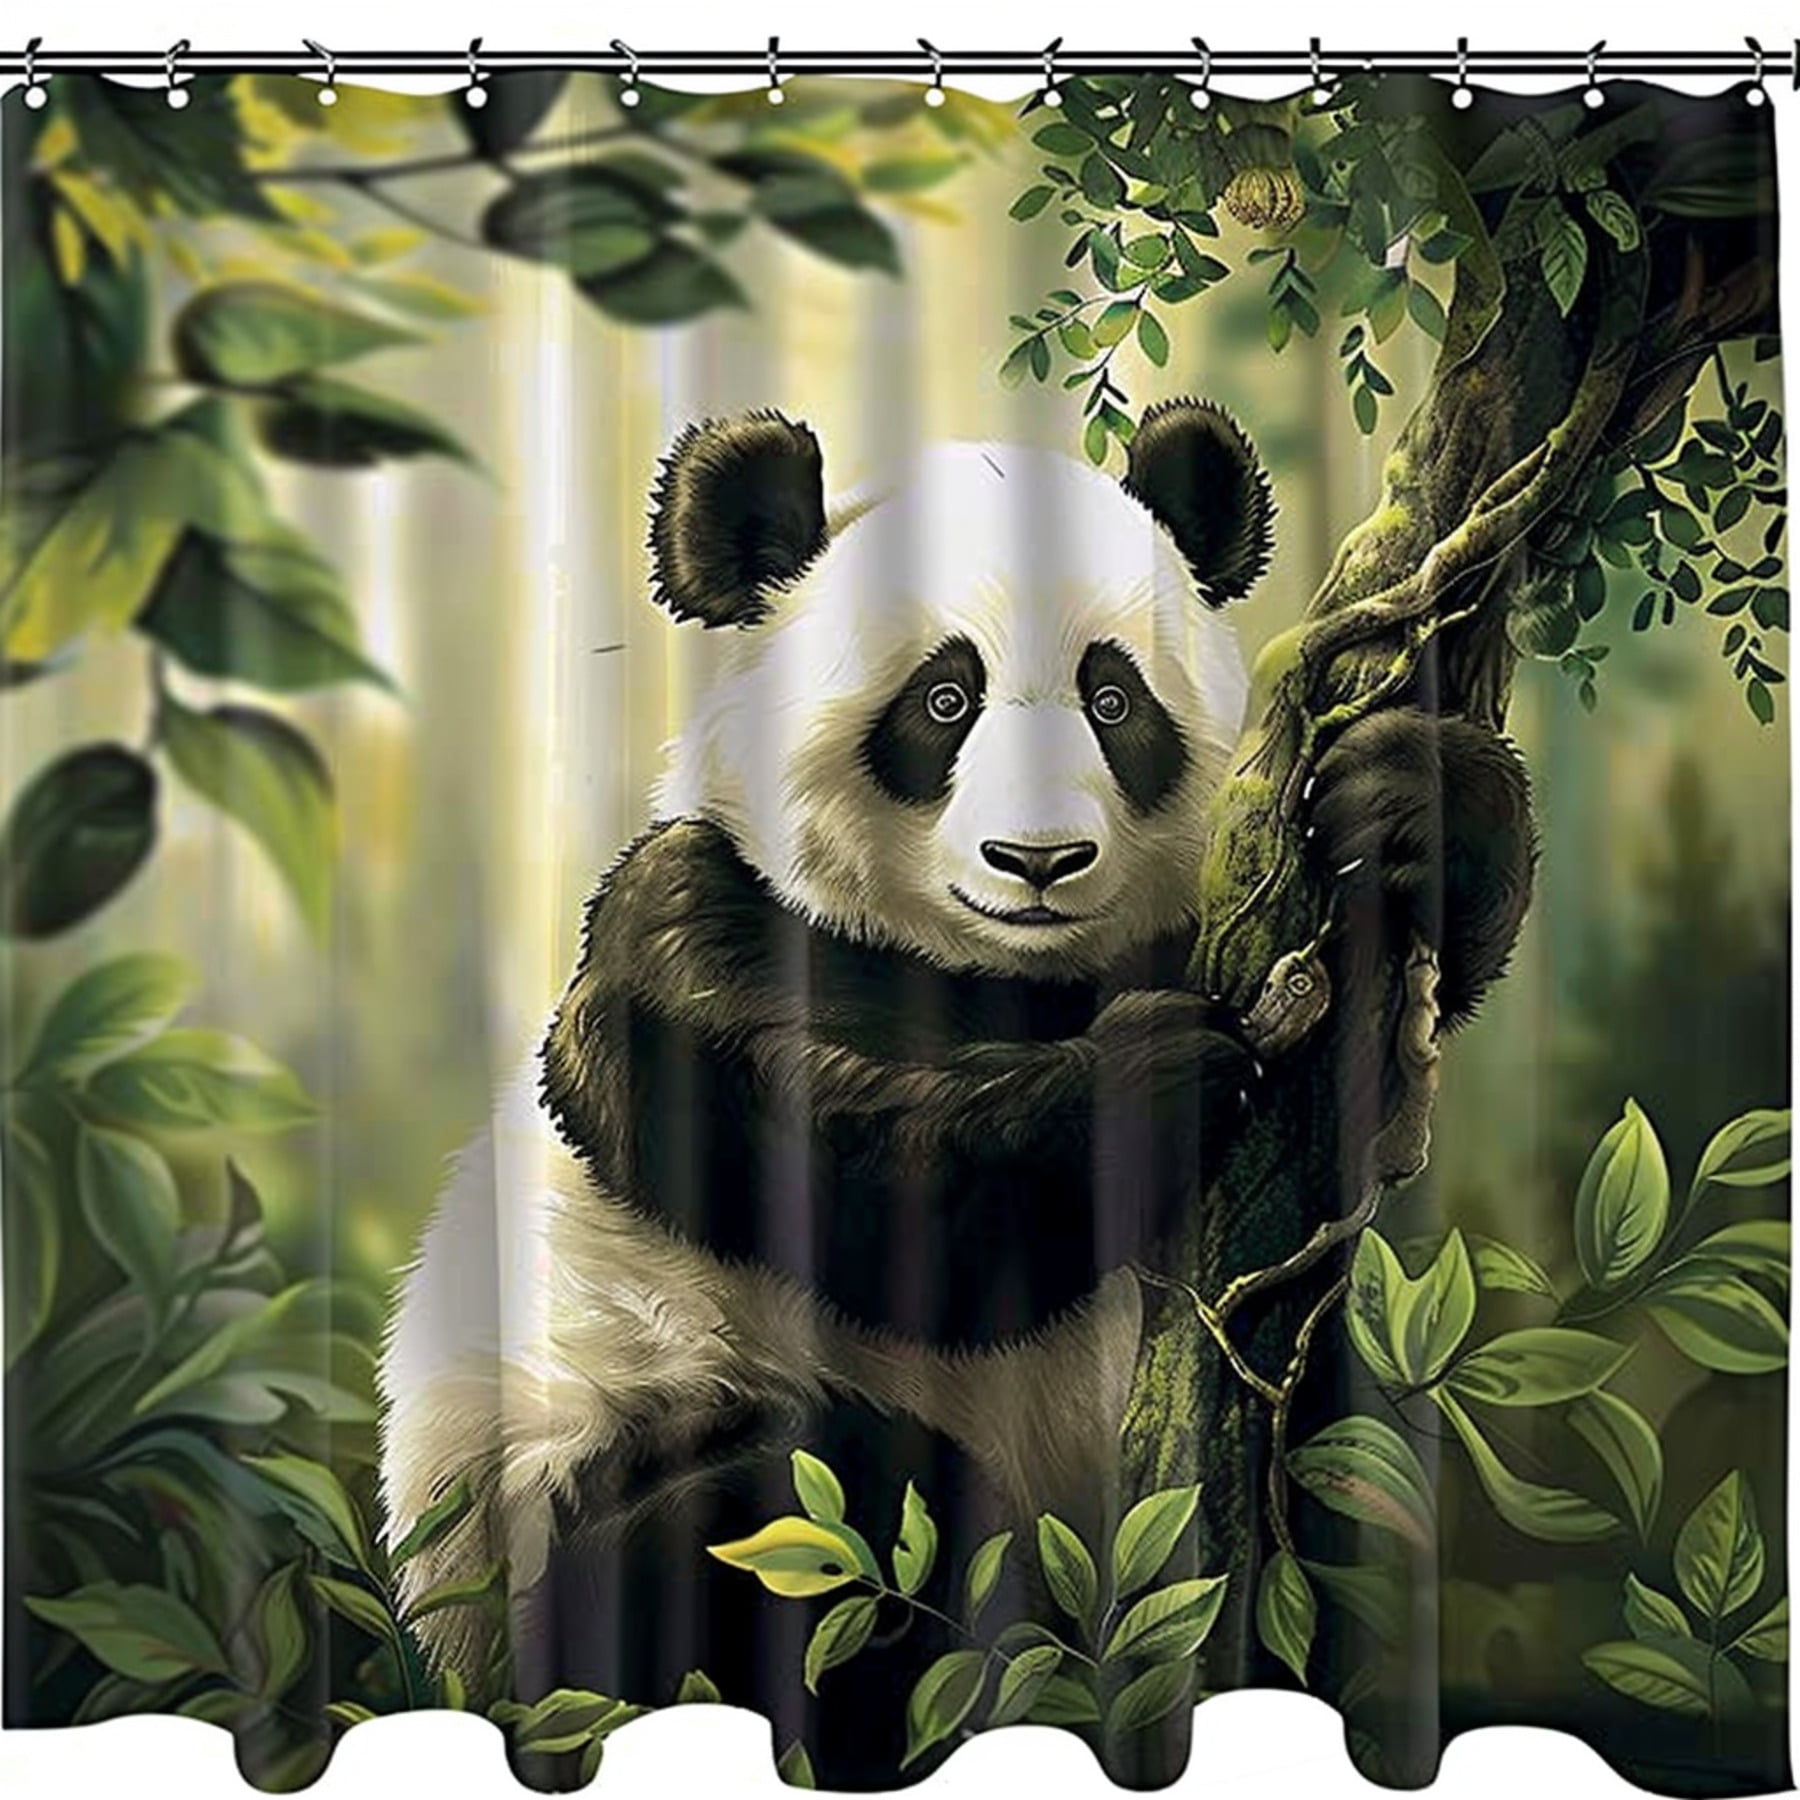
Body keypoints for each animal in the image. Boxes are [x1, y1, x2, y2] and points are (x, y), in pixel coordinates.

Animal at [377, 400, 1534, 1790]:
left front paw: (1420, 803)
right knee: (805, 1507)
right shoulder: (683, 937)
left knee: (1333, 1469)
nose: (1040, 862)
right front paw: (1154, 1081)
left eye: (1112, 699)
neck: (997, 979)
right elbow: (876, 1190)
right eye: (944, 699)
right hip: (577, 1505)